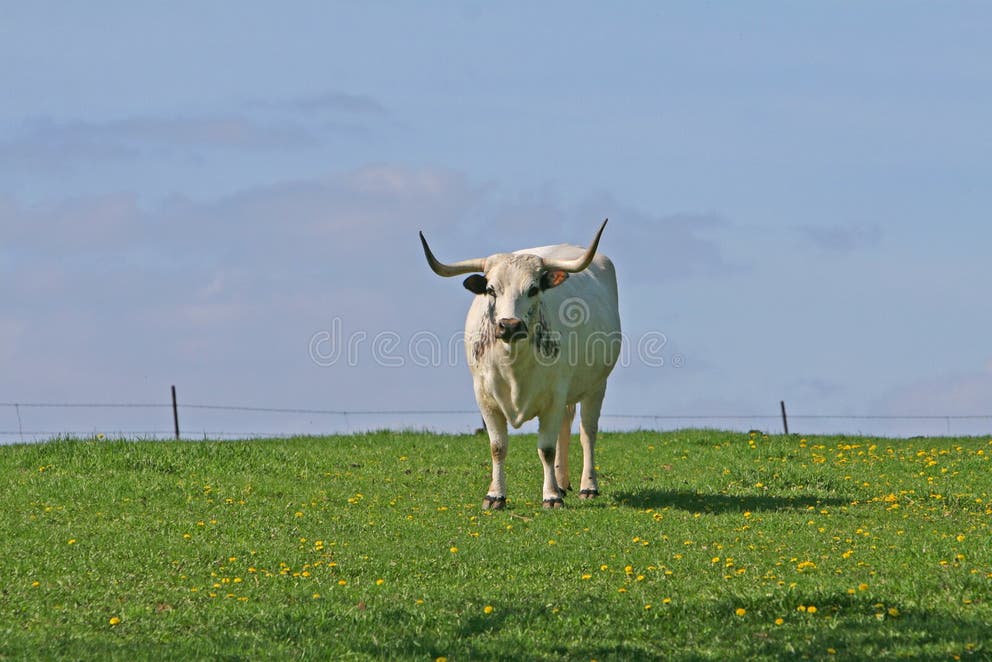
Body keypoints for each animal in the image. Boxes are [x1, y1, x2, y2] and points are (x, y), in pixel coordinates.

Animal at [419, 220, 621, 509]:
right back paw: (562, 483)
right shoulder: (485, 398)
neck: (514, 367)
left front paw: (550, 497)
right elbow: (498, 447)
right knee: (566, 427)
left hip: (596, 386)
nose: (510, 325)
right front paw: (495, 495)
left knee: (587, 433)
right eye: (491, 290)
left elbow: (546, 448)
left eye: (533, 289)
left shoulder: (554, 396)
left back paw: (587, 486)